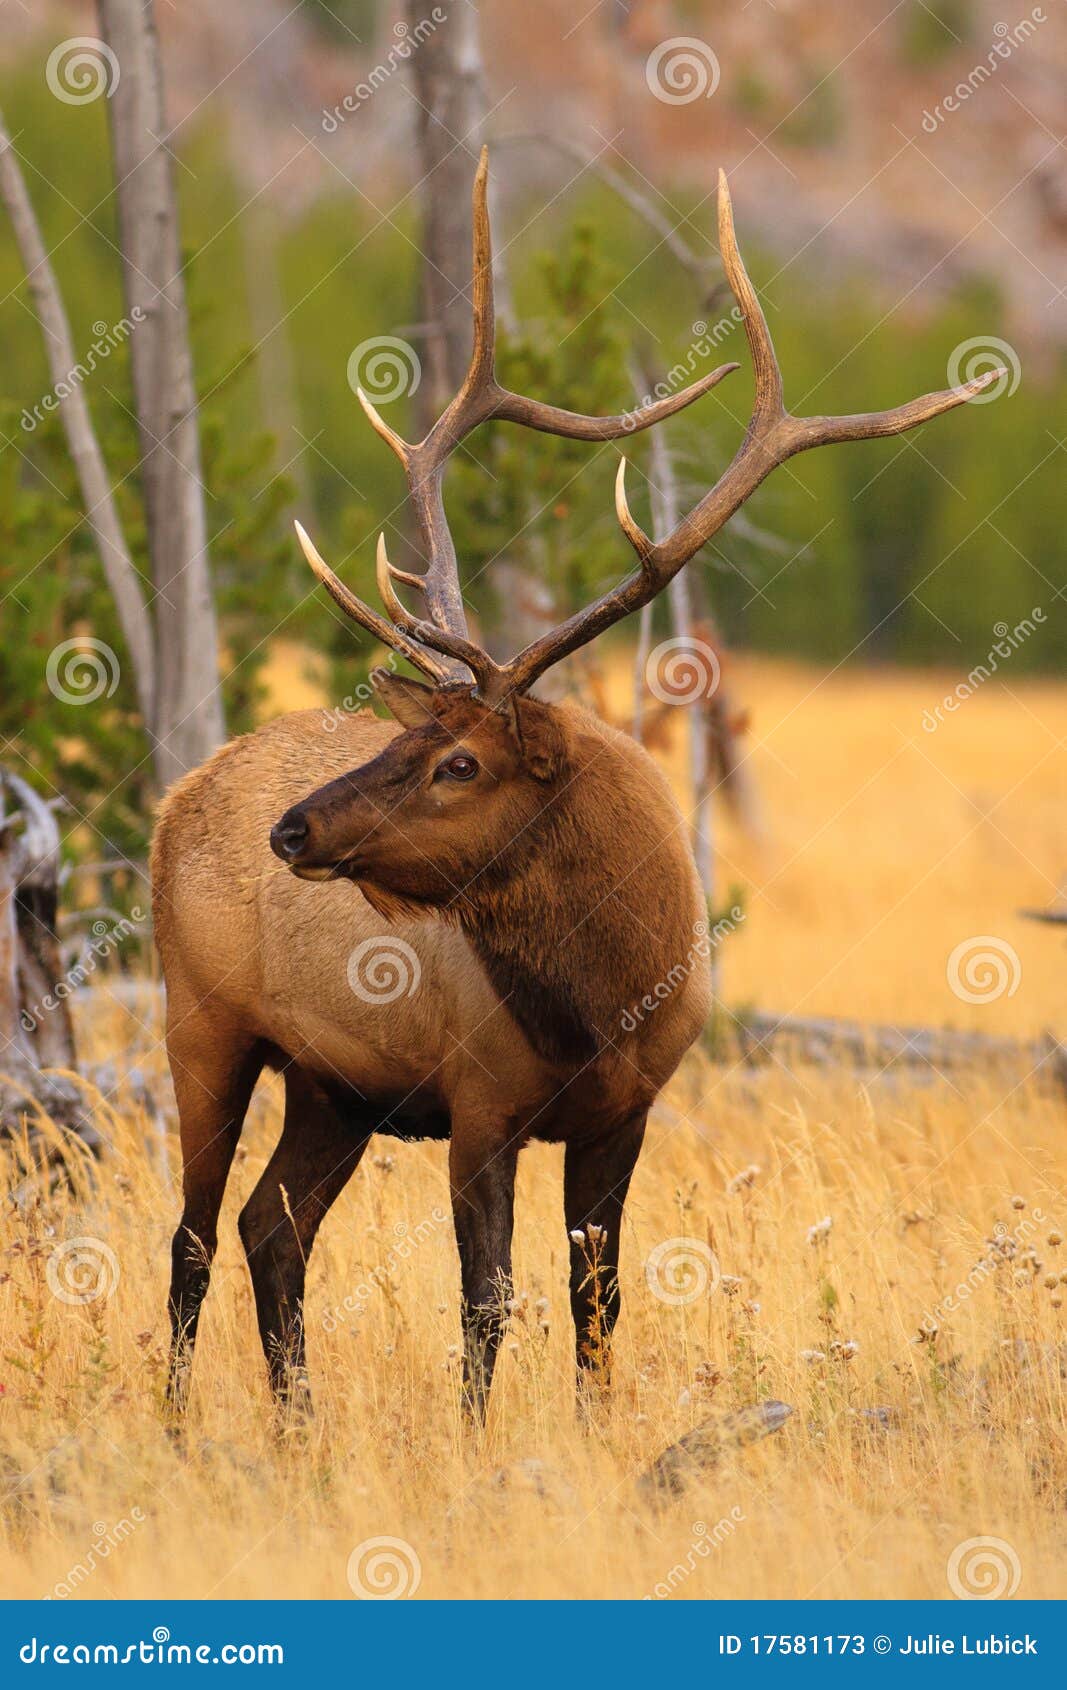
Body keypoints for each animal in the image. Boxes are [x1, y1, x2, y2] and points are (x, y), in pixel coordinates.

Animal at [152, 152, 1001, 1419]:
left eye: (457, 760)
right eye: (414, 738)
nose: (292, 828)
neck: (598, 1000)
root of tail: (179, 797)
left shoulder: (624, 1115)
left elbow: (595, 1303)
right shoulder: (478, 1104)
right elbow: (486, 1304)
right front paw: (475, 1439)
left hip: (330, 1081)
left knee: (270, 1228)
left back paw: (296, 1424)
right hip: (202, 1020)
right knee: (193, 1237)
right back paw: (178, 1426)